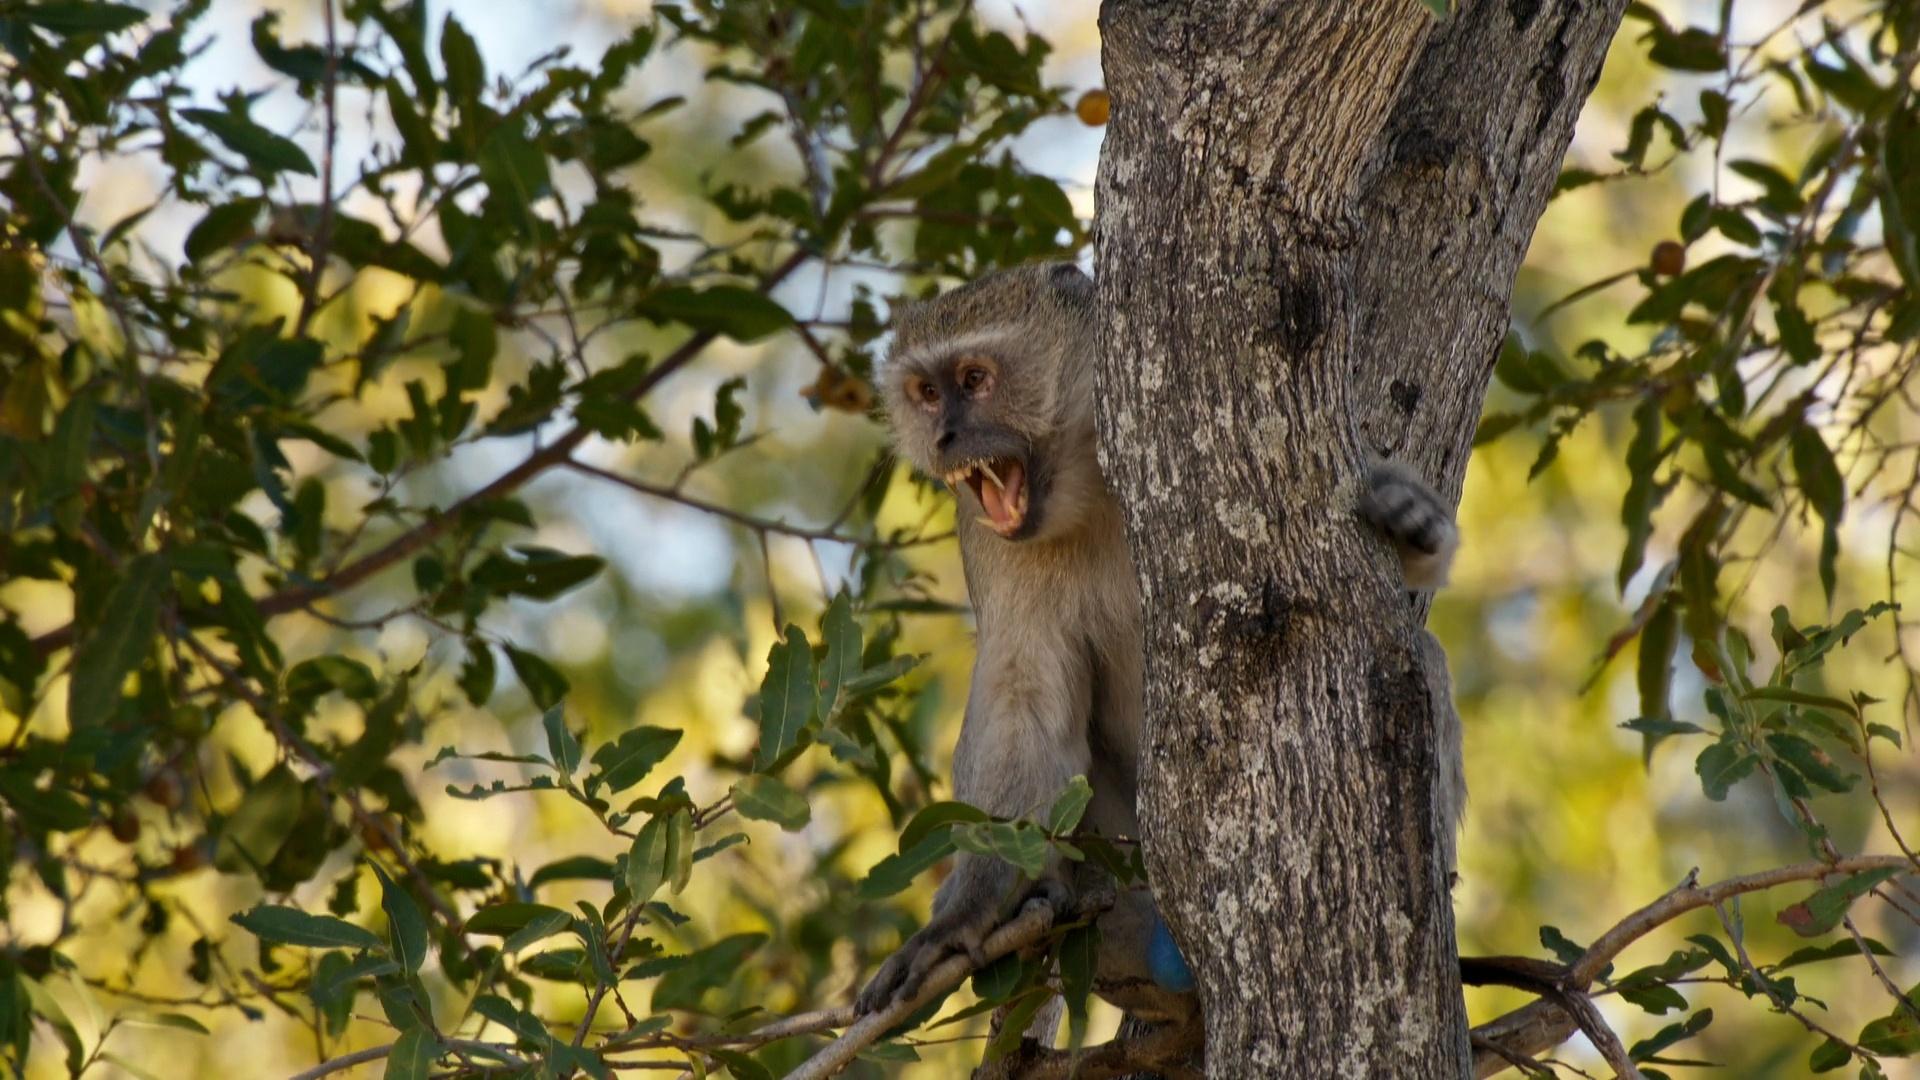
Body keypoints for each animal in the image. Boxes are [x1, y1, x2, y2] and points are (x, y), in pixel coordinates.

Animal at [855, 261, 1465, 1032]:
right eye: (927, 394)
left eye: (974, 379)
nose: (946, 438)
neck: (1088, 479)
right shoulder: (992, 544)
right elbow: (1025, 706)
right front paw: (965, 914)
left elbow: (1403, 580)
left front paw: (1411, 518)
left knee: (1422, 657)